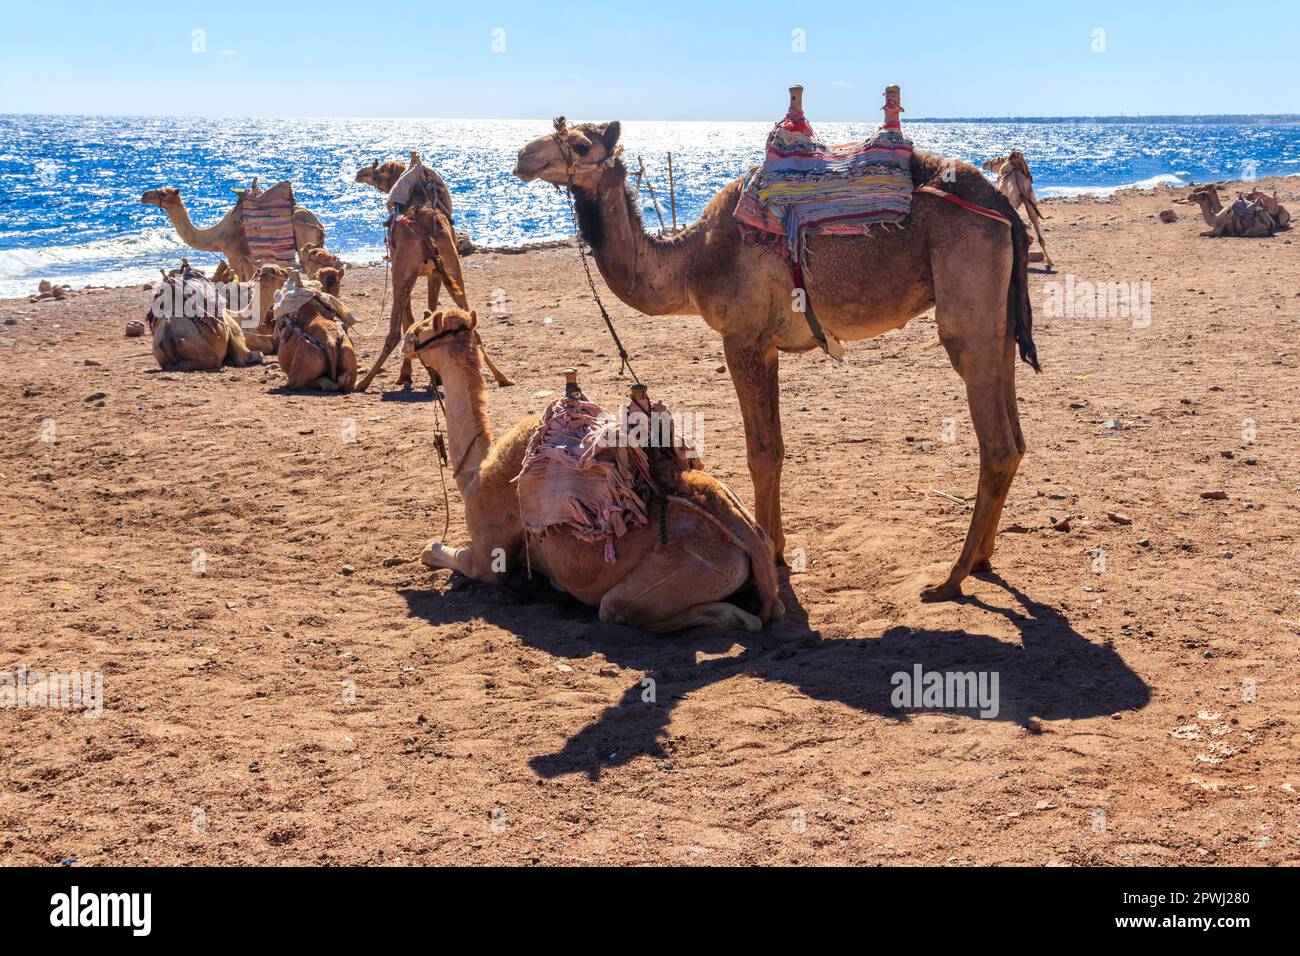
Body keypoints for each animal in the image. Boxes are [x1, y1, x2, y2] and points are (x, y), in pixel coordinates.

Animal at [140, 186, 326, 280]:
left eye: (163, 193)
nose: (144, 195)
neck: (215, 236)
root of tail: (318, 224)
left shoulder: (233, 256)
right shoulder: (248, 259)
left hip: (304, 243)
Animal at [404, 307, 783, 631]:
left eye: (423, 327)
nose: (407, 339)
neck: (474, 471)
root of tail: (750, 541)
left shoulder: (487, 555)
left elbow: (432, 549)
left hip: (676, 577)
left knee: (622, 608)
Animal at [514, 118, 1039, 602]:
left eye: (580, 144)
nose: (523, 157)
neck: (690, 263)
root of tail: (1003, 210)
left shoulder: (743, 338)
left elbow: (762, 452)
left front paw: (771, 550)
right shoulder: (765, 346)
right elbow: (776, 447)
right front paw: (778, 546)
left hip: (966, 302)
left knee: (996, 442)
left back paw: (952, 577)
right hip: (1001, 320)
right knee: (1014, 435)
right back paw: (984, 558)